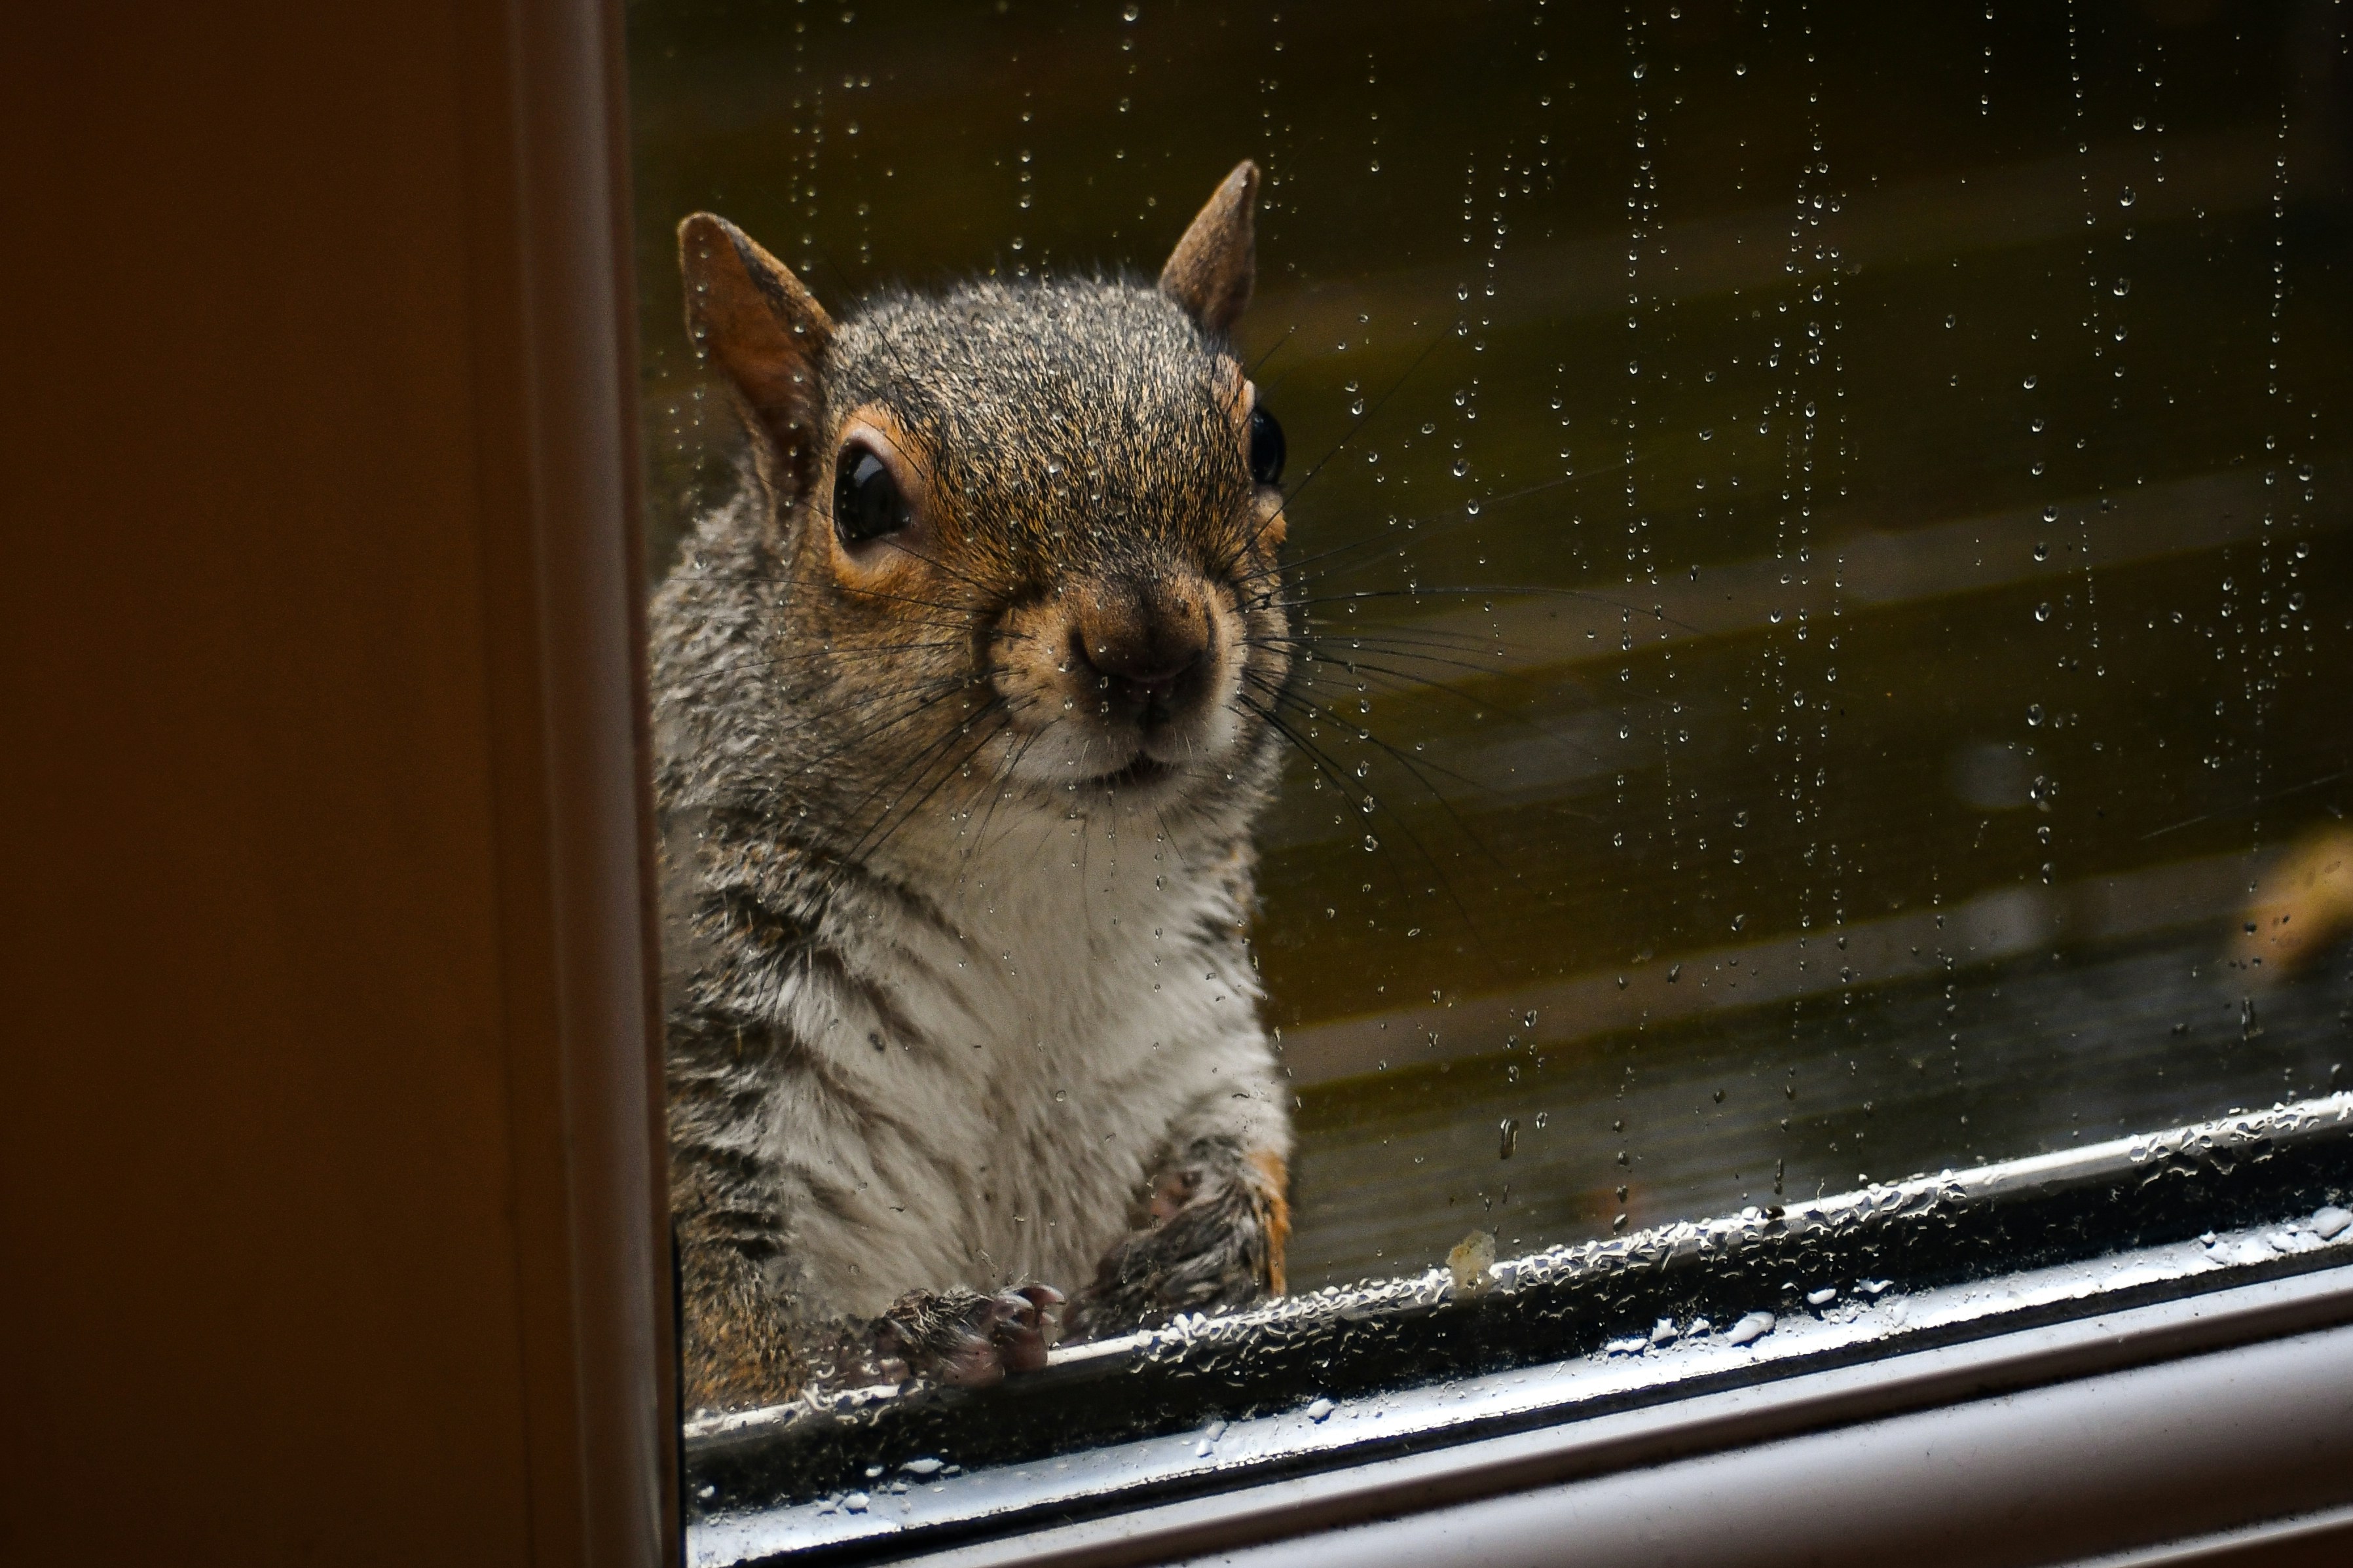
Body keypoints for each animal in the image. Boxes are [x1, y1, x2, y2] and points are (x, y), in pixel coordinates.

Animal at [653, 162, 1299, 1413]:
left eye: (1263, 440)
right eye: (859, 494)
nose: (1150, 648)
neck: (1027, 881)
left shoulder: (1191, 1033)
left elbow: (1242, 1150)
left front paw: (1211, 1242)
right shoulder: (718, 1064)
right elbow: (740, 1343)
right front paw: (911, 1339)